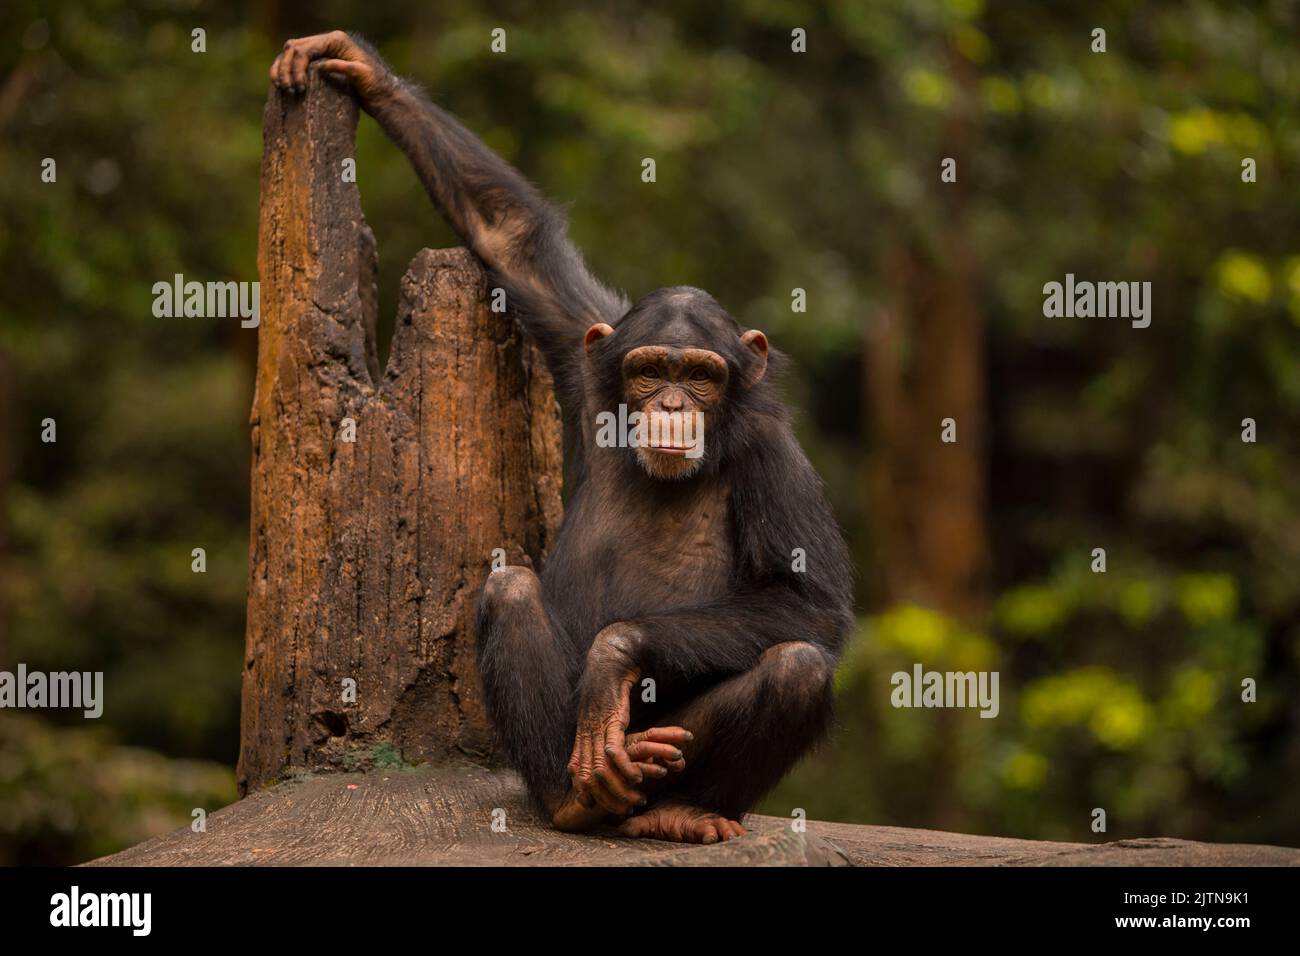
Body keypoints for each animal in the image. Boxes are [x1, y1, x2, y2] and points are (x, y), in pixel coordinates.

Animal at [270, 32, 854, 844]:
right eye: (649, 370)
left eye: (702, 376)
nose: (673, 402)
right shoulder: (587, 360)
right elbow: (513, 238)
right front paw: (360, 68)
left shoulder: (777, 455)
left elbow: (810, 602)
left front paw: (615, 654)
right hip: (563, 756)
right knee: (512, 591)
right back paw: (572, 799)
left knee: (796, 666)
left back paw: (684, 809)